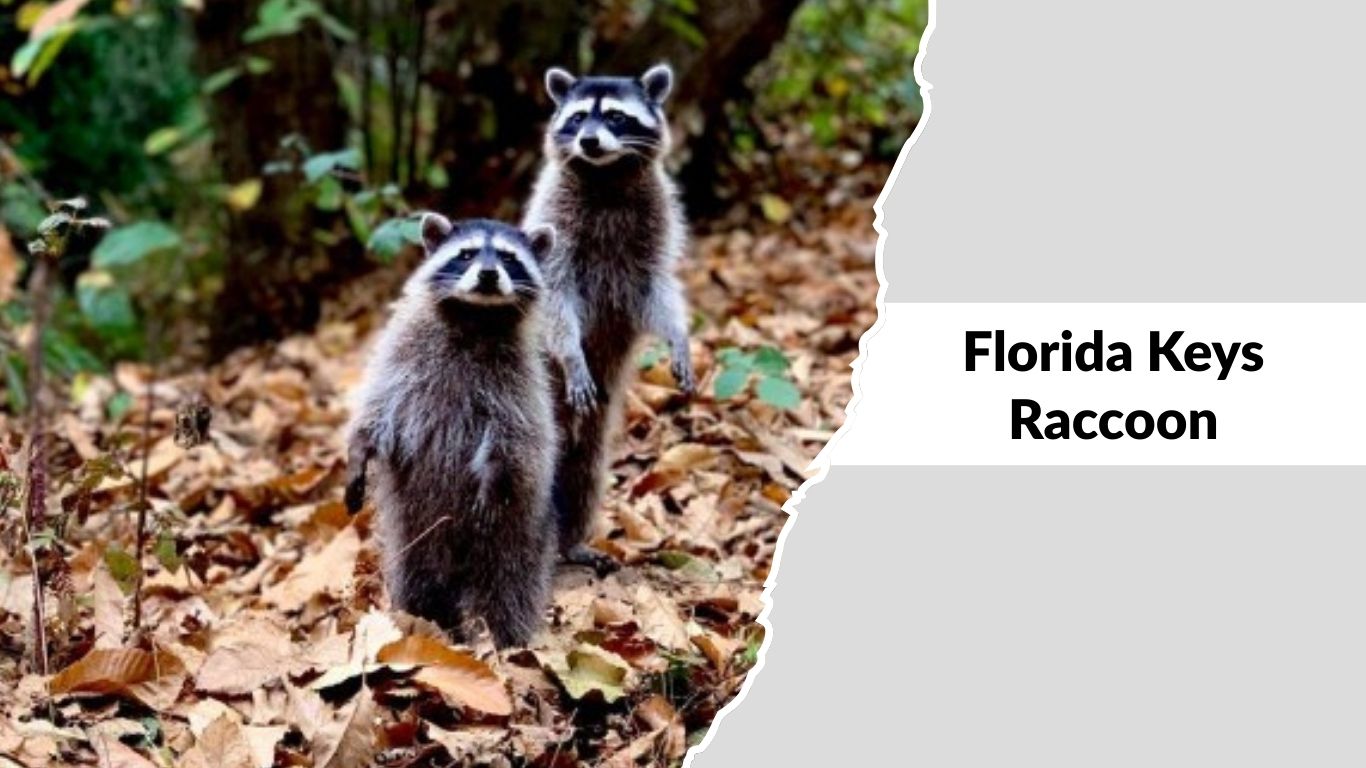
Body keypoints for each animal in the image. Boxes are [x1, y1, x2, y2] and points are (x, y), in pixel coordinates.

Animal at [345, 217, 559, 646]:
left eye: (509, 258)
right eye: (467, 253)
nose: (489, 274)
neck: (476, 318)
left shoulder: (519, 381)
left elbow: (518, 437)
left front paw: (494, 475)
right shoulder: (403, 353)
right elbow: (378, 410)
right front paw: (358, 450)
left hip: (521, 530)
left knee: (509, 588)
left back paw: (508, 643)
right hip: (415, 530)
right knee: (418, 578)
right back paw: (425, 624)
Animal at [522, 63, 695, 568]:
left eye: (616, 118)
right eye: (579, 118)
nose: (589, 142)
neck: (606, 175)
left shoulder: (654, 221)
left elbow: (657, 290)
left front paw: (679, 336)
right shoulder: (555, 222)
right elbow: (556, 297)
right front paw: (572, 354)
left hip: (595, 420)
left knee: (585, 469)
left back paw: (571, 540)